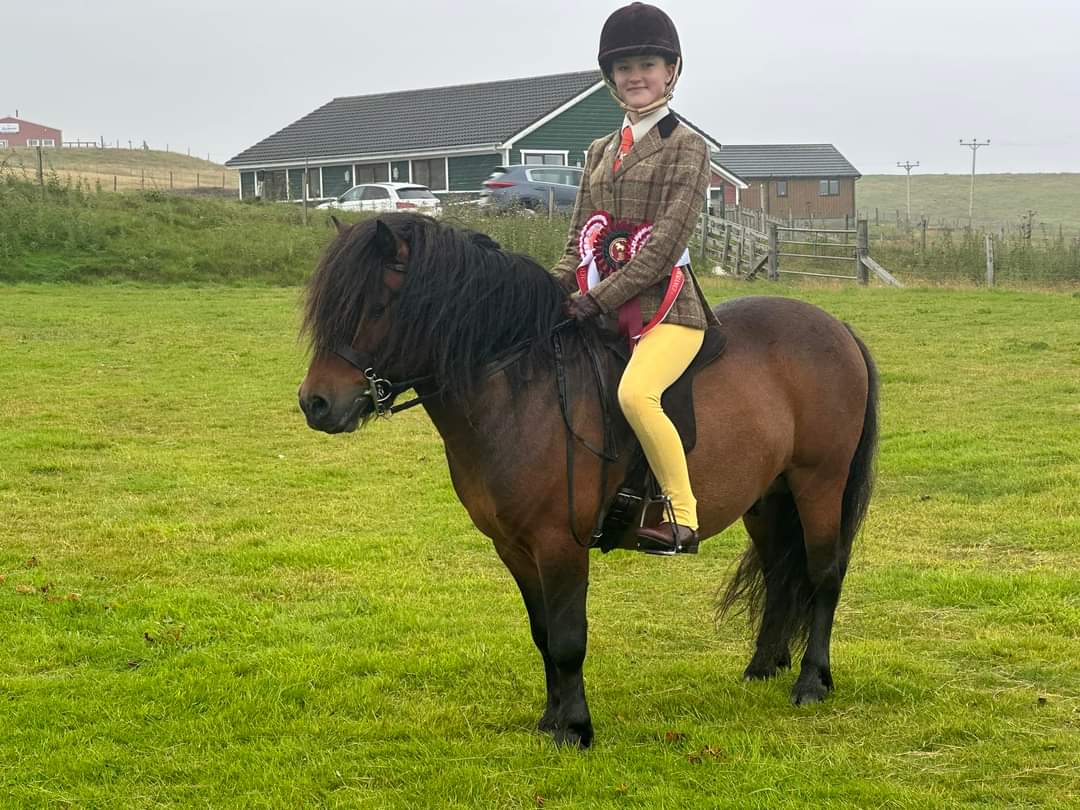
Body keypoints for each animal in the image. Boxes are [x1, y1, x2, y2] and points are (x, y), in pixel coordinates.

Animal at [297, 212, 879, 749]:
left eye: (374, 308)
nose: (316, 404)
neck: (519, 390)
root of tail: (837, 329)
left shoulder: (560, 543)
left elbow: (568, 638)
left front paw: (575, 729)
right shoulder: (513, 546)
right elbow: (543, 634)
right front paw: (550, 719)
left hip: (818, 483)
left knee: (825, 573)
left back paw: (811, 681)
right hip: (767, 497)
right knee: (781, 573)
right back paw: (762, 666)